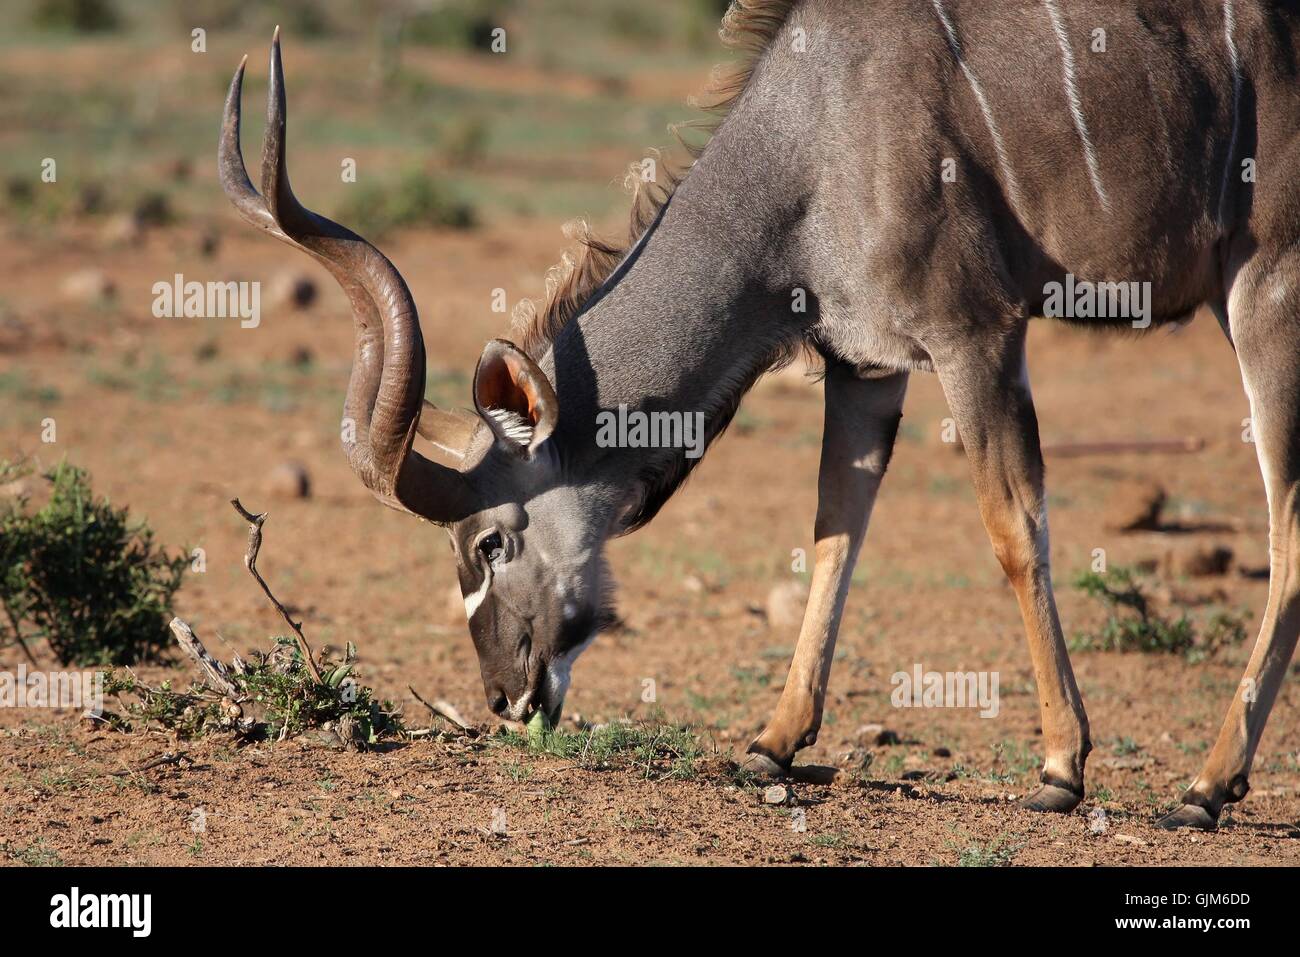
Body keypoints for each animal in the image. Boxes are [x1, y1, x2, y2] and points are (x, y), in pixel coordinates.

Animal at [220, 0, 1300, 831]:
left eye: (489, 542)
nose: (505, 697)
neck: (810, 143)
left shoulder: (976, 335)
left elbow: (1013, 530)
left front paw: (1059, 767)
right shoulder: (864, 365)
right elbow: (833, 530)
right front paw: (773, 744)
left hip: (1263, 292)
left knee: (1287, 521)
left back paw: (1206, 788)